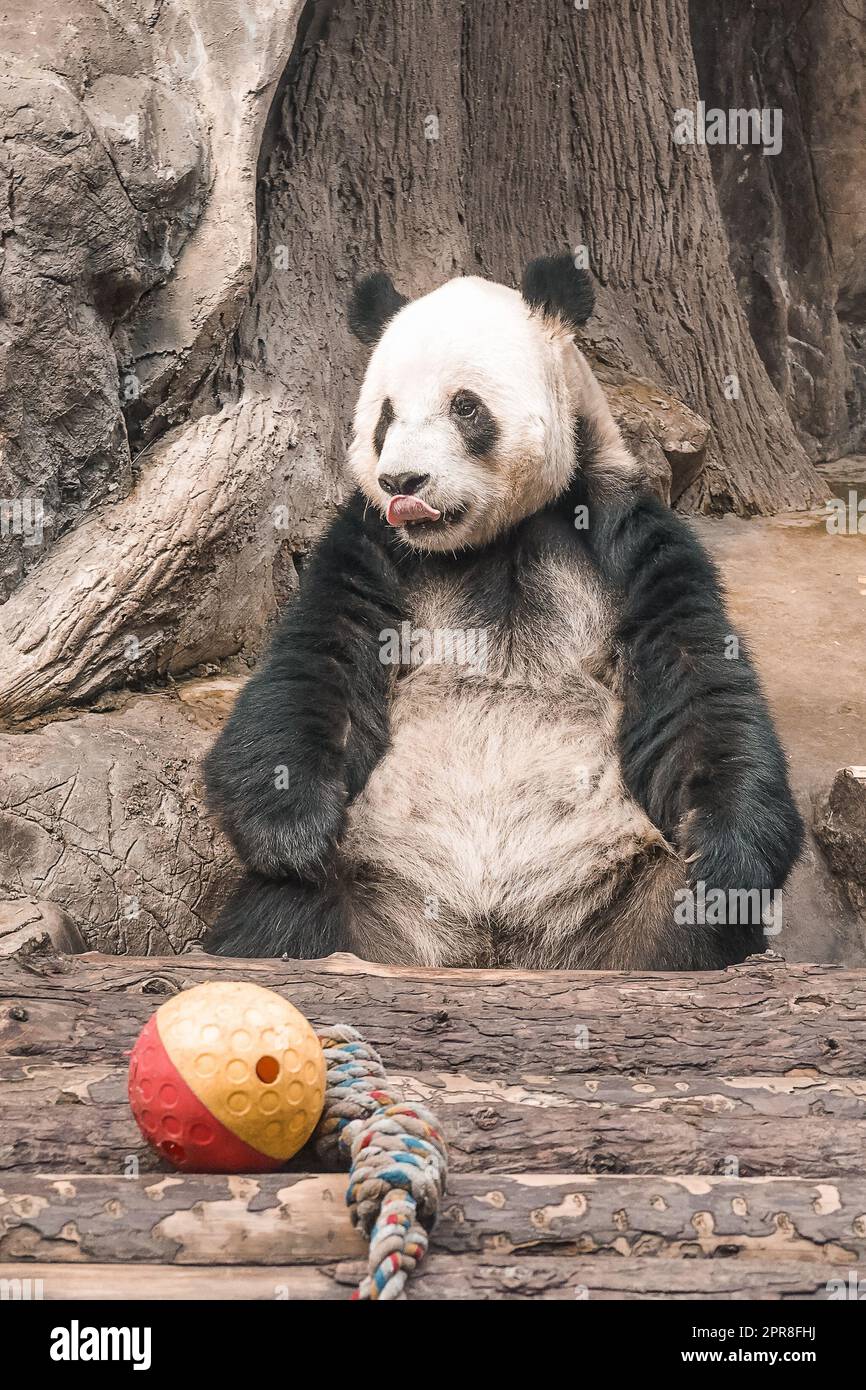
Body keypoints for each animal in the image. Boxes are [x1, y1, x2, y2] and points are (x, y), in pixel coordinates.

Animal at [203, 254, 803, 969]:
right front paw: (292, 831)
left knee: (679, 927)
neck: (493, 538)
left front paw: (726, 859)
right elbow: (319, 660)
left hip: (621, 887)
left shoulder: (623, 534)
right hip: (370, 879)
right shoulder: (373, 544)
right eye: (385, 416)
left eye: (465, 406)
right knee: (280, 914)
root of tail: (492, 944)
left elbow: (694, 677)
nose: (402, 483)